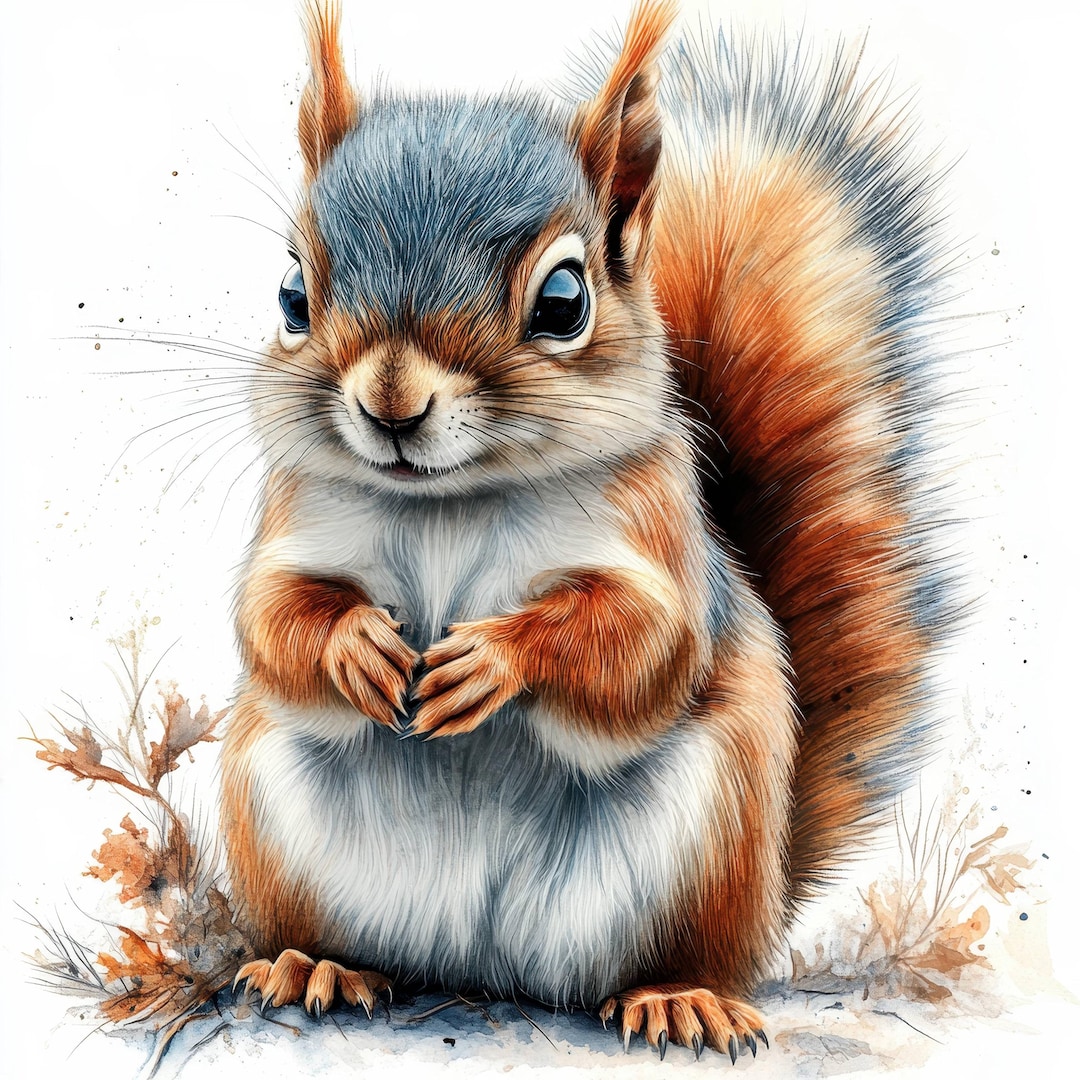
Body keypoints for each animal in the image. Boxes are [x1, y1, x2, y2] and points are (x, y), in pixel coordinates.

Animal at [222, 0, 951, 1061]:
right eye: (290, 294)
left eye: (564, 302)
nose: (391, 403)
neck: (455, 499)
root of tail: (478, 968)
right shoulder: (294, 518)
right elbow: (268, 618)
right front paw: (356, 644)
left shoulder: (658, 534)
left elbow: (645, 646)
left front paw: (497, 658)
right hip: (270, 814)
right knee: (335, 933)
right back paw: (313, 964)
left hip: (709, 839)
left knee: (673, 951)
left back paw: (680, 996)